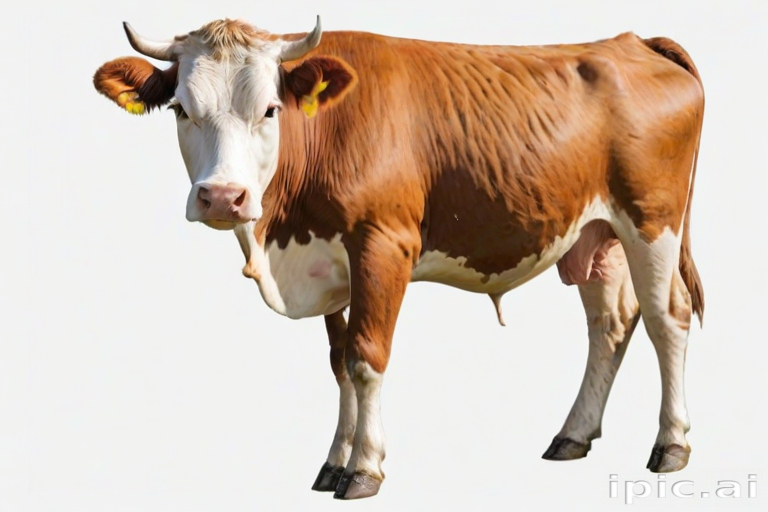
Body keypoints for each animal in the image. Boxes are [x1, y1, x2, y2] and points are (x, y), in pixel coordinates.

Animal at [93, 16, 705, 500]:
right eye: (180, 109)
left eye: (269, 110)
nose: (223, 197)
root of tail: (632, 41)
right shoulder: (329, 263)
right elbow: (339, 362)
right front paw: (332, 462)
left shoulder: (382, 244)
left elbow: (367, 359)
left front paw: (364, 469)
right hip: (596, 234)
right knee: (610, 324)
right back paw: (572, 435)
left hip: (652, 220)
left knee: (665, 318)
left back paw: (670, 443)